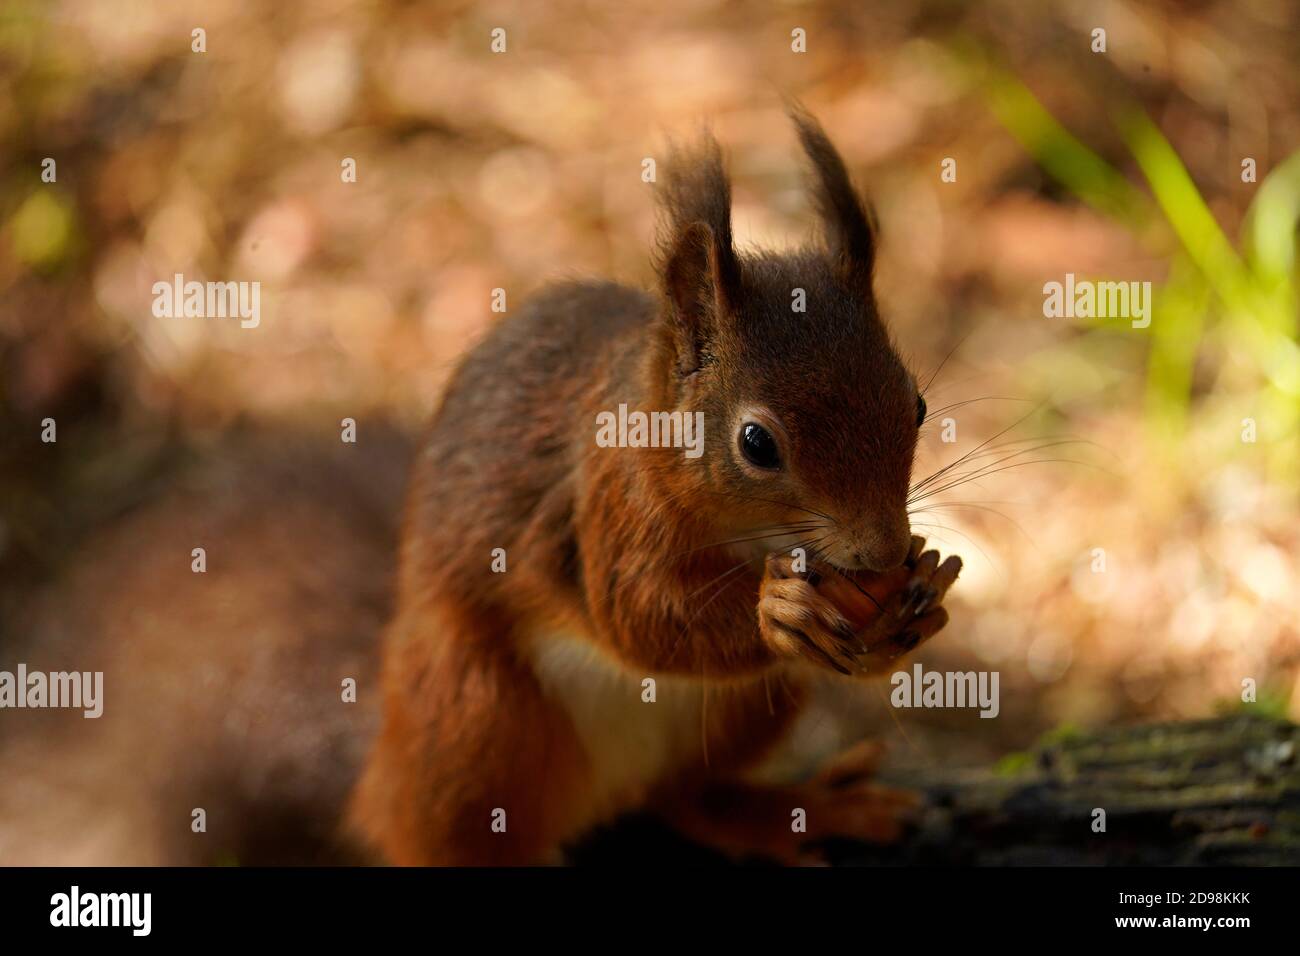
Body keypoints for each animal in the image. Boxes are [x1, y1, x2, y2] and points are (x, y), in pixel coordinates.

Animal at [351, 107, 962, 866]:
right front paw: (775, 612)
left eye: (918, 406)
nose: (882, 552)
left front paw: (921, 595)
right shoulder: (607, 500)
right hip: (477, 715)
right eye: (757, 444)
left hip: (745, 712)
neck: (751, 536)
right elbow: (635, 612)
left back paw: (802, 811)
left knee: (686, 795)